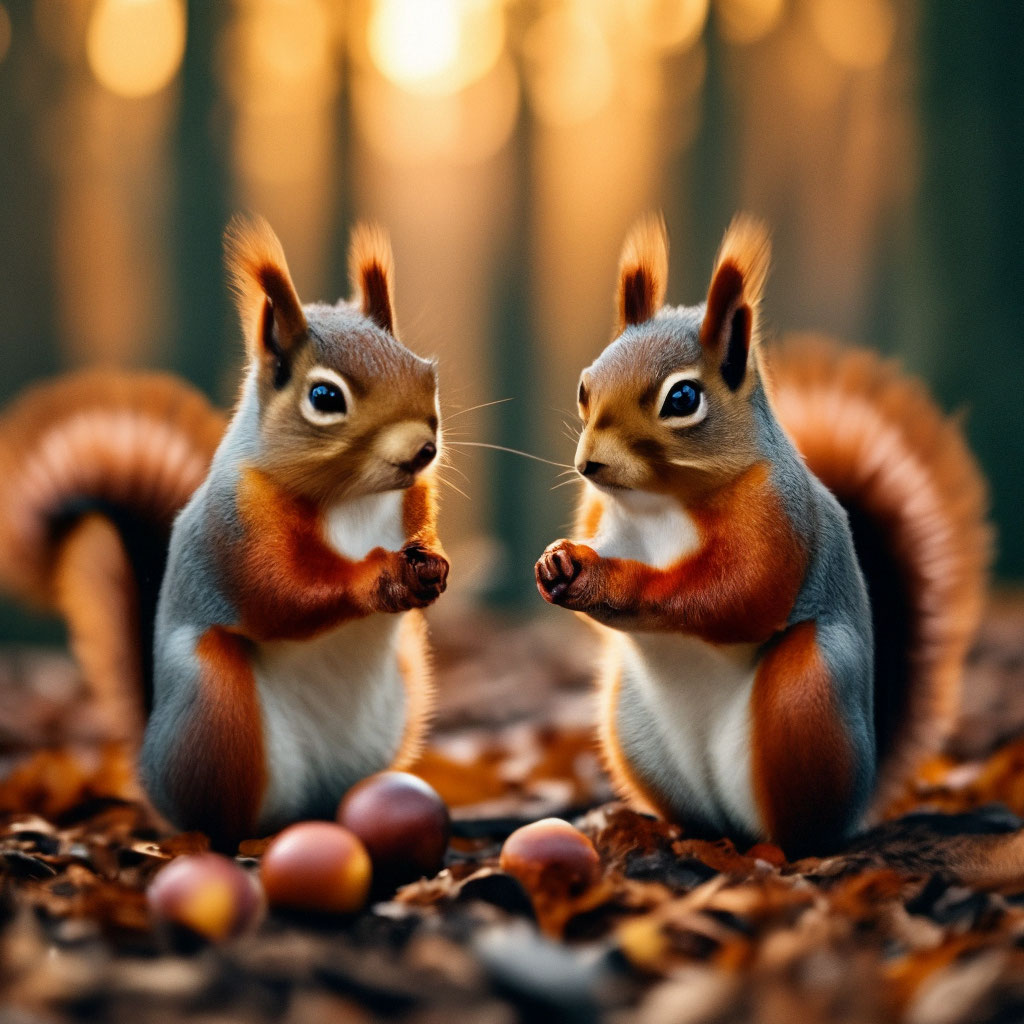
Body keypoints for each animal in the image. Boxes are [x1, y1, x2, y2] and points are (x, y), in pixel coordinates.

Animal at [0, 216, 448, 850]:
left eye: (424, 371)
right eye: (325, 397)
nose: (423, 448)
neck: (354, 499)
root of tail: (149, 765)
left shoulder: (414, 496)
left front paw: (433, 559)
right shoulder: (238, 529)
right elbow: (281, 594)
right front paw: (381, 578)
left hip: (398, 699)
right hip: (216, 710)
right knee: (217, 817)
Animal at [536, 213, 990, 857]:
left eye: (682, 398)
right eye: (585, 385)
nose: (589, 464)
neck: (660, 502)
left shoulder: (776, 514)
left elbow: (739, 594)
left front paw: (602, 578)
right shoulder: (602, 513)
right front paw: (558, 560)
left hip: (807, 698)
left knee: (799, 826)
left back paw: (779, 849)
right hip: (631, 724)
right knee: (703, 814)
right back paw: (667, 830)